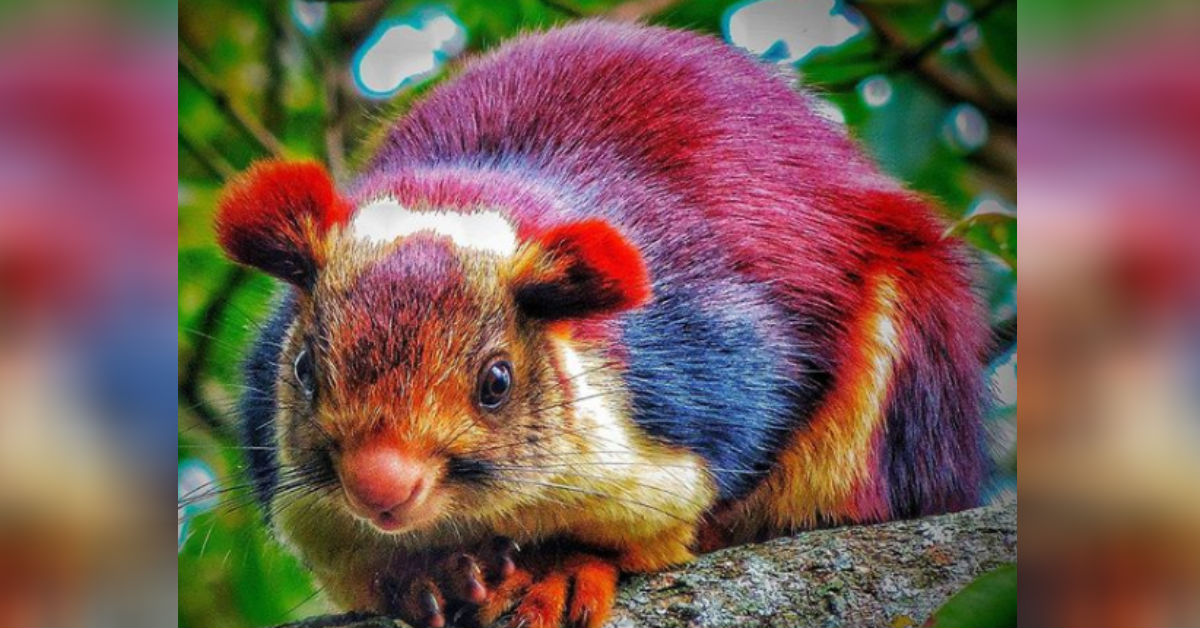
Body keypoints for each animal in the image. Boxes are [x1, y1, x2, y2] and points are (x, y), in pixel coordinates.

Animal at [215, 20, 988, 628]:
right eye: (303, 368)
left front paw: (564, 567)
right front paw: (427, 576)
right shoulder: (300, 498)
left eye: (496, 382)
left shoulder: (708, 376)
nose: (380, 486)